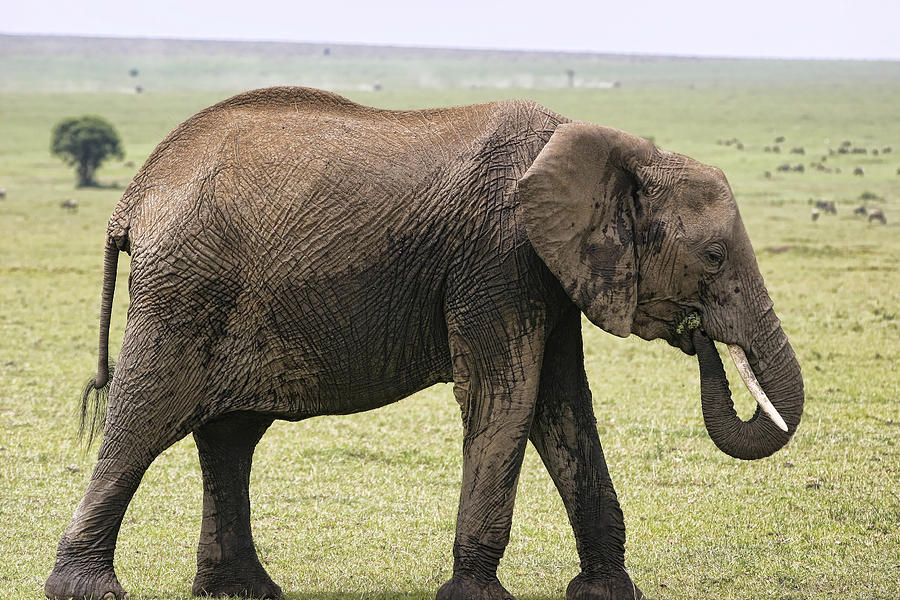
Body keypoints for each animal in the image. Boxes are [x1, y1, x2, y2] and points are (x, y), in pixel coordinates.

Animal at [45, 87, 804, 600]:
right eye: (713, 257)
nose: (698, 335)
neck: (612, 148)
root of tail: (134, 198)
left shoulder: (549, 275)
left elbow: (562, 406)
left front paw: (608, 594)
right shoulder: (498, 259)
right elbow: (506, 395)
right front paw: (476, 595)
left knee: (229, 435)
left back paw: (242, 590)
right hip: (184, 294)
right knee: (143, 423)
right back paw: (90, 590)